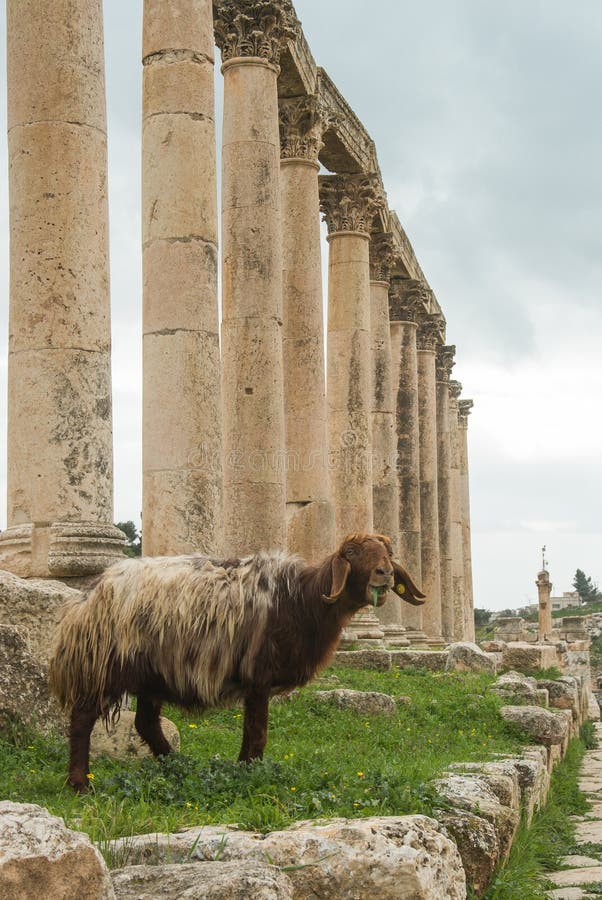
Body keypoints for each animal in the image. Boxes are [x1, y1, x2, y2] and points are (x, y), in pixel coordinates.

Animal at [49, 532, 425, 793]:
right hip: (108, 666)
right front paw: (249, 772)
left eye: (389, 553)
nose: (384, 574)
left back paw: (179, 766)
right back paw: (80, 784)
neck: (304, 599)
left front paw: (241, 769)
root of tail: (90, 598)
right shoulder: (258, 676)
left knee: (145, 723)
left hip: (151, 675)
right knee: (82, 719)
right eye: (351, 554)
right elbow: (257, 732)